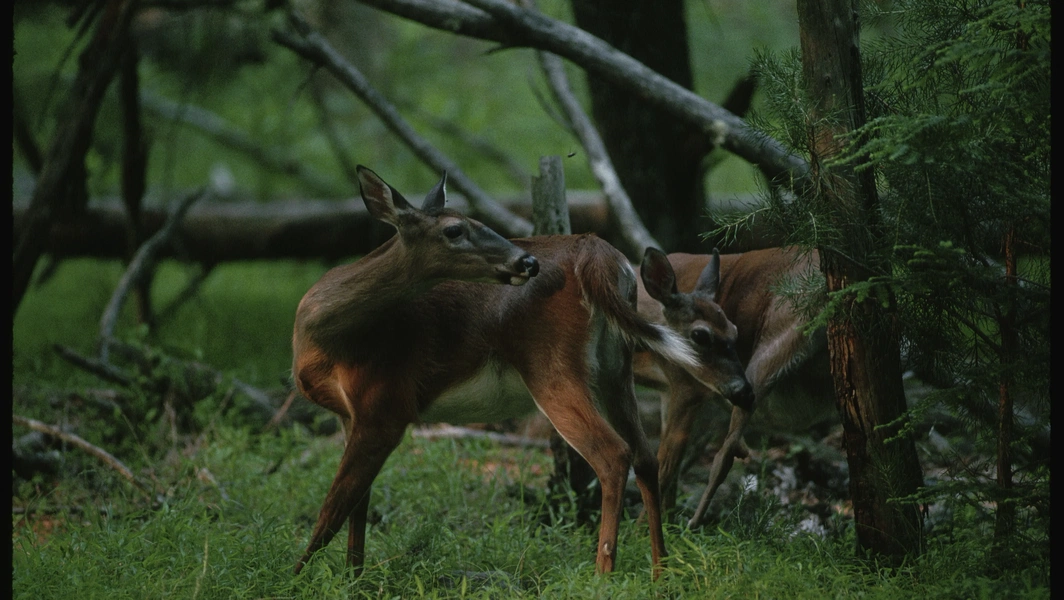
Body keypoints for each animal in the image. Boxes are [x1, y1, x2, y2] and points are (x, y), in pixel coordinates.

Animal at [291, 165, 700, 578]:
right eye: (455, 229)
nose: (527, 262)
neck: (326, 341)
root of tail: (598, 253)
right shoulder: (350, 414)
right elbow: (357, 507)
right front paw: (352, 576)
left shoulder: (385, 406)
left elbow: (332, 509)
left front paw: (294, 578)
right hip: (615, 368)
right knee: (646, 456)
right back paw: (660, 570)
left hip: (552, 364)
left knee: (613, 454)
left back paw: (603, 573)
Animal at [634, 246, 834, 528]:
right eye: (701, 335)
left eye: (735, 331)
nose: (743, 392)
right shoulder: (671, 392)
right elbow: (675, 463)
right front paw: (667, 521)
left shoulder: (688, 387)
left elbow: (665, 464)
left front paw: (642, 530)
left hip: (781, 329)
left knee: (726, 452)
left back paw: (694, 523)